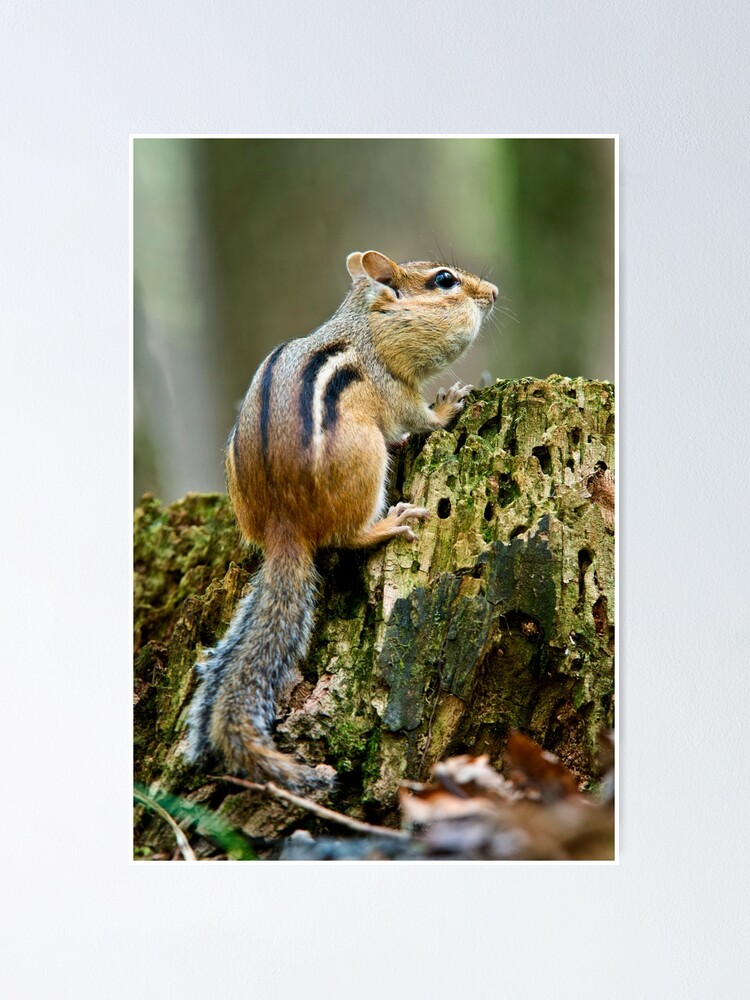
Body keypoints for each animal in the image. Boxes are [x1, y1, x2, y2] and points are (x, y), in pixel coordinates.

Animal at [184, 250, 498, 791]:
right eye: (444, 281)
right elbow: (420, 419)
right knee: (347, 537)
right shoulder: (393, 389)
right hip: (367, 458)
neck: (366, 329)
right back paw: (388, 523)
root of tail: (284, 528)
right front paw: (449, 404)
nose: (494, 293)